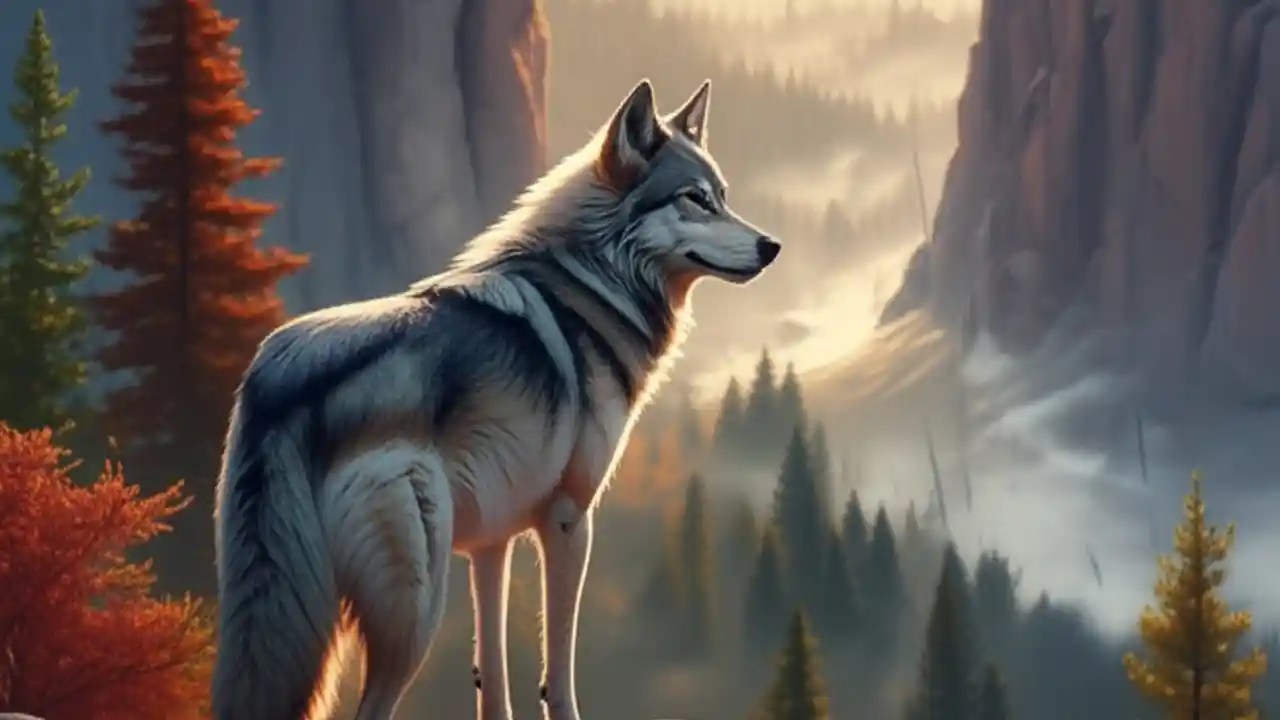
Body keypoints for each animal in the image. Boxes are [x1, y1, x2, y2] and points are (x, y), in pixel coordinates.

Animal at [211, 79, 780, 720]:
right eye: (695, 199)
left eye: (723, 197)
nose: (772, 246)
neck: (590, 287)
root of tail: (283, 378)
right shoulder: (569, 518)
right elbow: (558, 672)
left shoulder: (491, 541)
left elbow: (493, 671)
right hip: (414, 608)